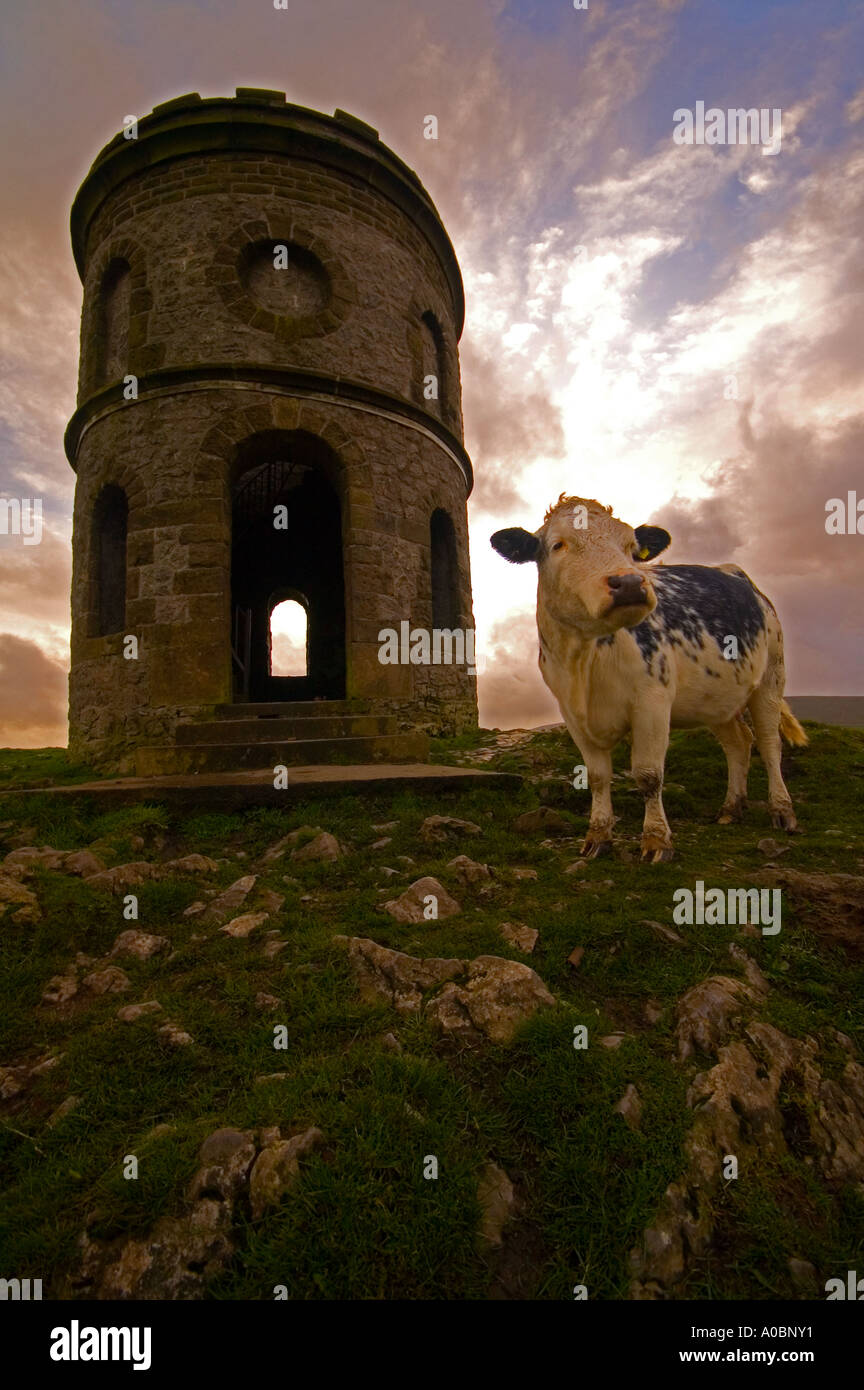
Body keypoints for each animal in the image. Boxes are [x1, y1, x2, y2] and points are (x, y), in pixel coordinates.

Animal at [491, 494, 807, 862]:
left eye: (631, 547)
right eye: (558, 545)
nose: (629, 583)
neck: (584, 662)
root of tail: (737, 575)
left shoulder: (652, 701)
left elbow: (648, 775)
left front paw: (656, 840)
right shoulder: (571, 714)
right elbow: (597, 777)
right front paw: (598, 836)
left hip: (771, 677)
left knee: (770, 745)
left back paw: (782, 811)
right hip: (718, 699)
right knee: (739, 743)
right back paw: (731, 808)